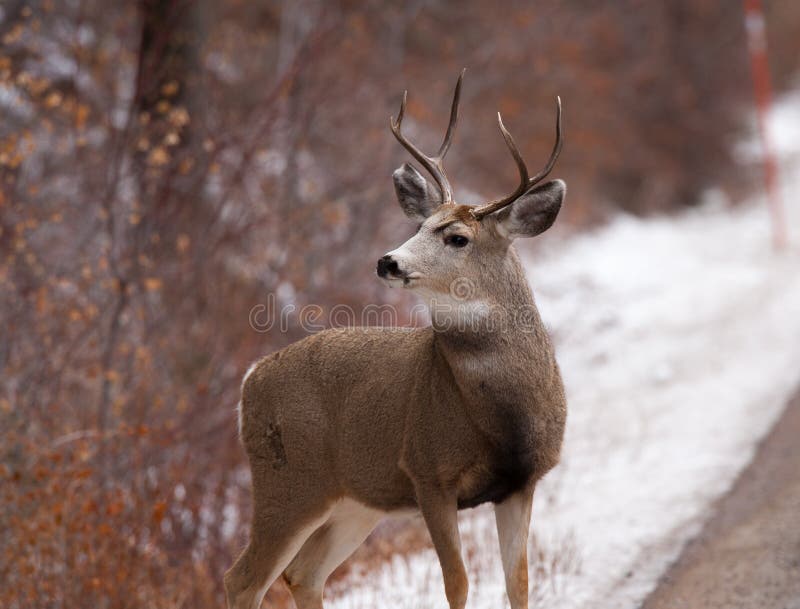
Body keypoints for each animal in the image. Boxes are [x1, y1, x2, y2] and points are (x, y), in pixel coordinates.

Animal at [224, 70, 567, 609]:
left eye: (457, 237)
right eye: (420, 225)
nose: (388, 261)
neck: (498, 415)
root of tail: (251, 377)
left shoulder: (521, 482)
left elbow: (519, 584)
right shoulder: (427, 471)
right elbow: (458, 582)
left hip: (357, 498)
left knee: (303, 572)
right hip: (288, 478)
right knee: (243, 579)